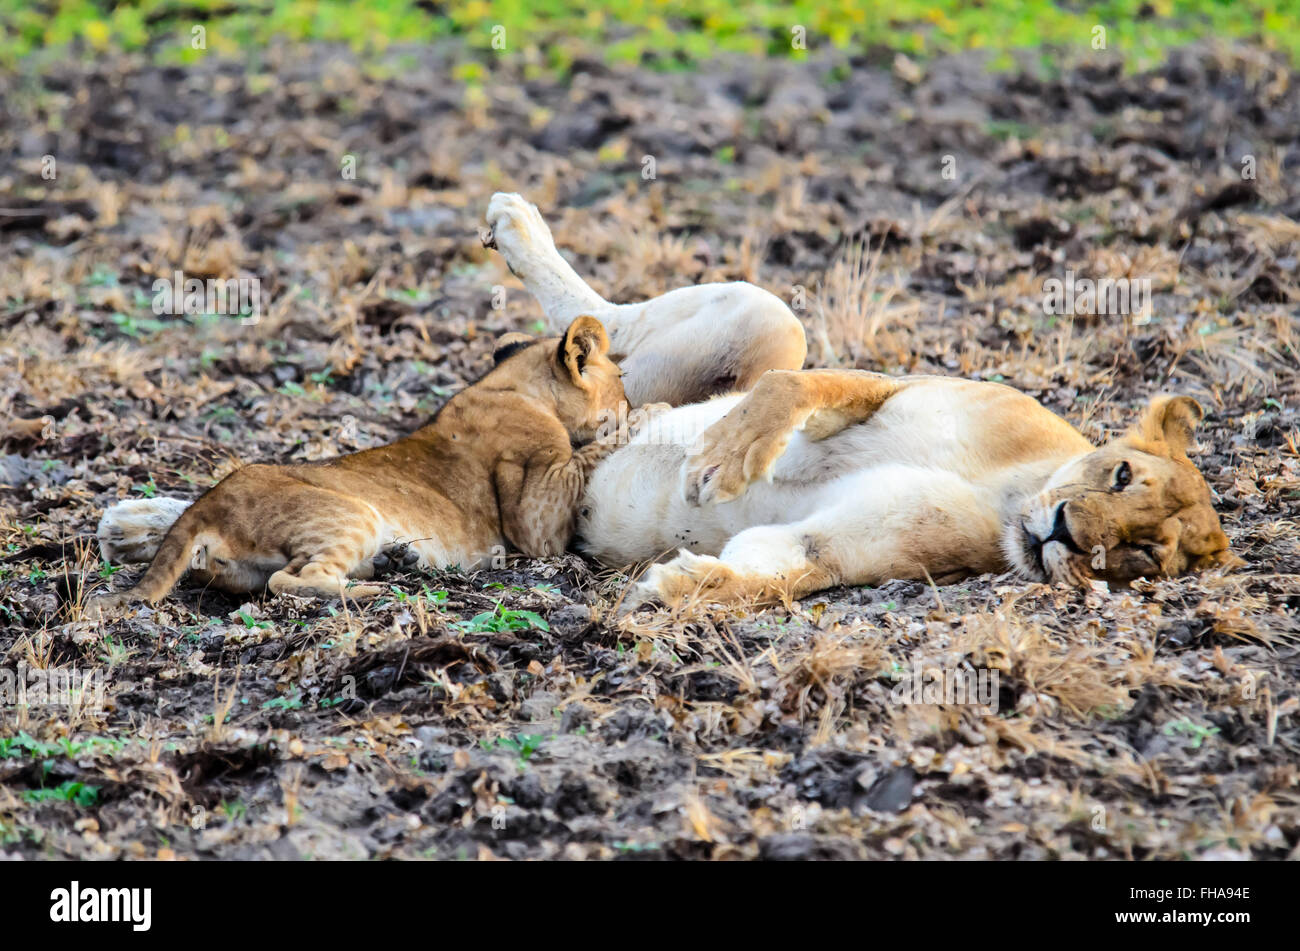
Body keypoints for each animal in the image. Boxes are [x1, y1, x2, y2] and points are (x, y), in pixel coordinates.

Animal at [94, 315, 626, 608]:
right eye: (621, 377)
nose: (628, 394)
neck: (512, 386)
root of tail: (204, 504)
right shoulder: (537, 522)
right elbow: (591, 452)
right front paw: (640, 416)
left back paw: (394, 562)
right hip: (353, 513)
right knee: (288, 581)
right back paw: (375, 590)